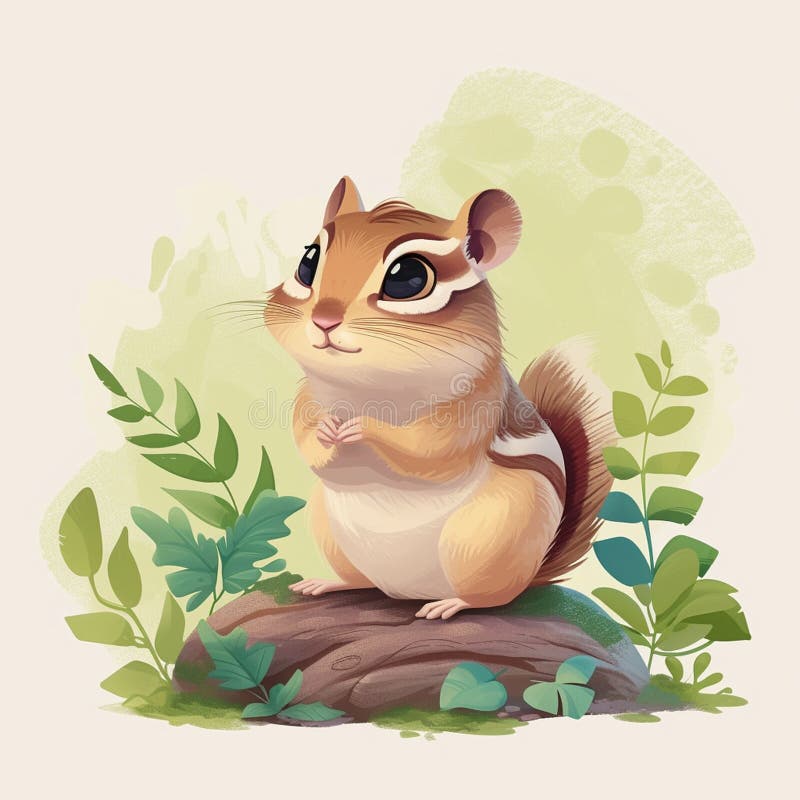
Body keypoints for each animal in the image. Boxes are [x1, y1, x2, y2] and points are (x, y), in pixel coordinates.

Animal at [264, 176, 614, 620]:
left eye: (409, 277)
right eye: (308, 262)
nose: (324, 319)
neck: (369, 389)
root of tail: (403, 592)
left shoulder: (472, 408)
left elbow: (429, 450)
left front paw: (364, 429)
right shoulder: (306, 399)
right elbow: (307, 439)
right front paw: (328, 431)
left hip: (488, 537)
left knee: (494, 596)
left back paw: (450, 604)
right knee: (360, 580)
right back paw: (327, 583)